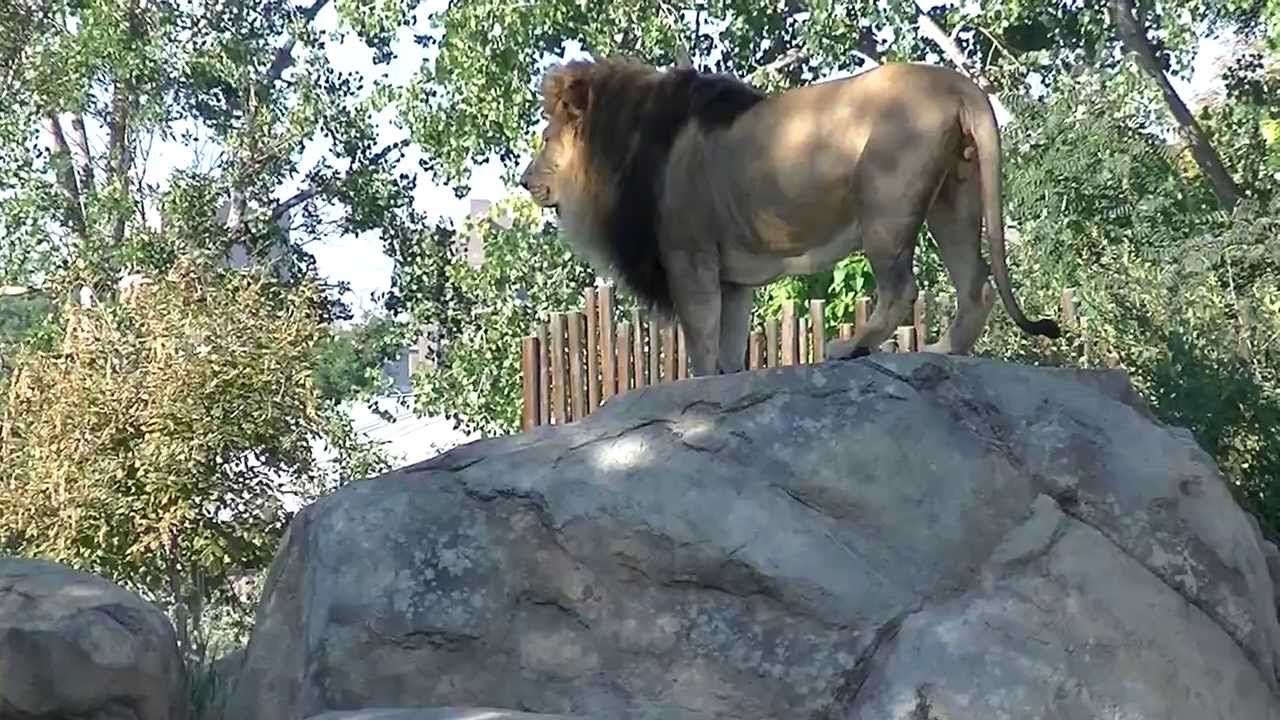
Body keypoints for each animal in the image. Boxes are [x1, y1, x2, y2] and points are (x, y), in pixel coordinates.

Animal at [519, 57, 1060, 377]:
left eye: (545, 139)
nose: (524, 181)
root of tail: (957, 84)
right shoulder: (730, 278)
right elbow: (728, 343)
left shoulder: (689, 256)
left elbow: (700, 338)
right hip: (954, 199)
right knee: (976, 287)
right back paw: (942, 352)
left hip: (884, 206)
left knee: (901, 289)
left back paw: (852, 349)